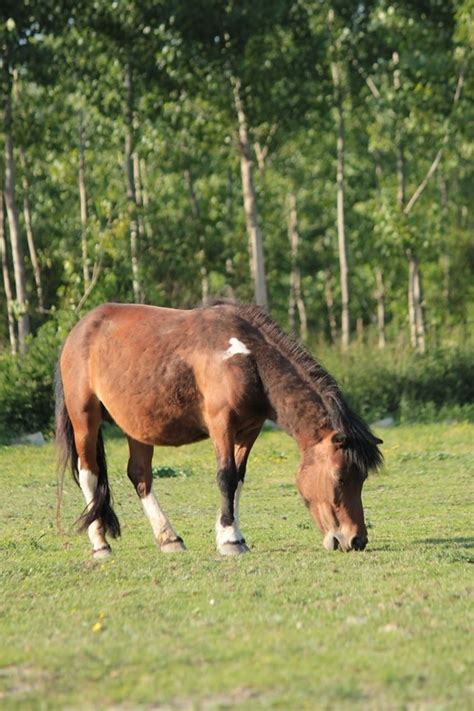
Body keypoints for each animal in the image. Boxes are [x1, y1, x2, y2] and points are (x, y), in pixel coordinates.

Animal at [55, 301, 383, 559]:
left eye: (363, 477)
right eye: (340, 477)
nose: (356, 539)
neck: (248, 357)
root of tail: (78, 331)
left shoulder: (248, 431)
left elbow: (238, 479)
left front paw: (233, 532)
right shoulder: (222, 424)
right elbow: (226, 477)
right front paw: (230, 540)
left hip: (137, 428)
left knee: (140, 476)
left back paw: (169, 538)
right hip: (85, 419)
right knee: (89, 475)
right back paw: (100, 544)